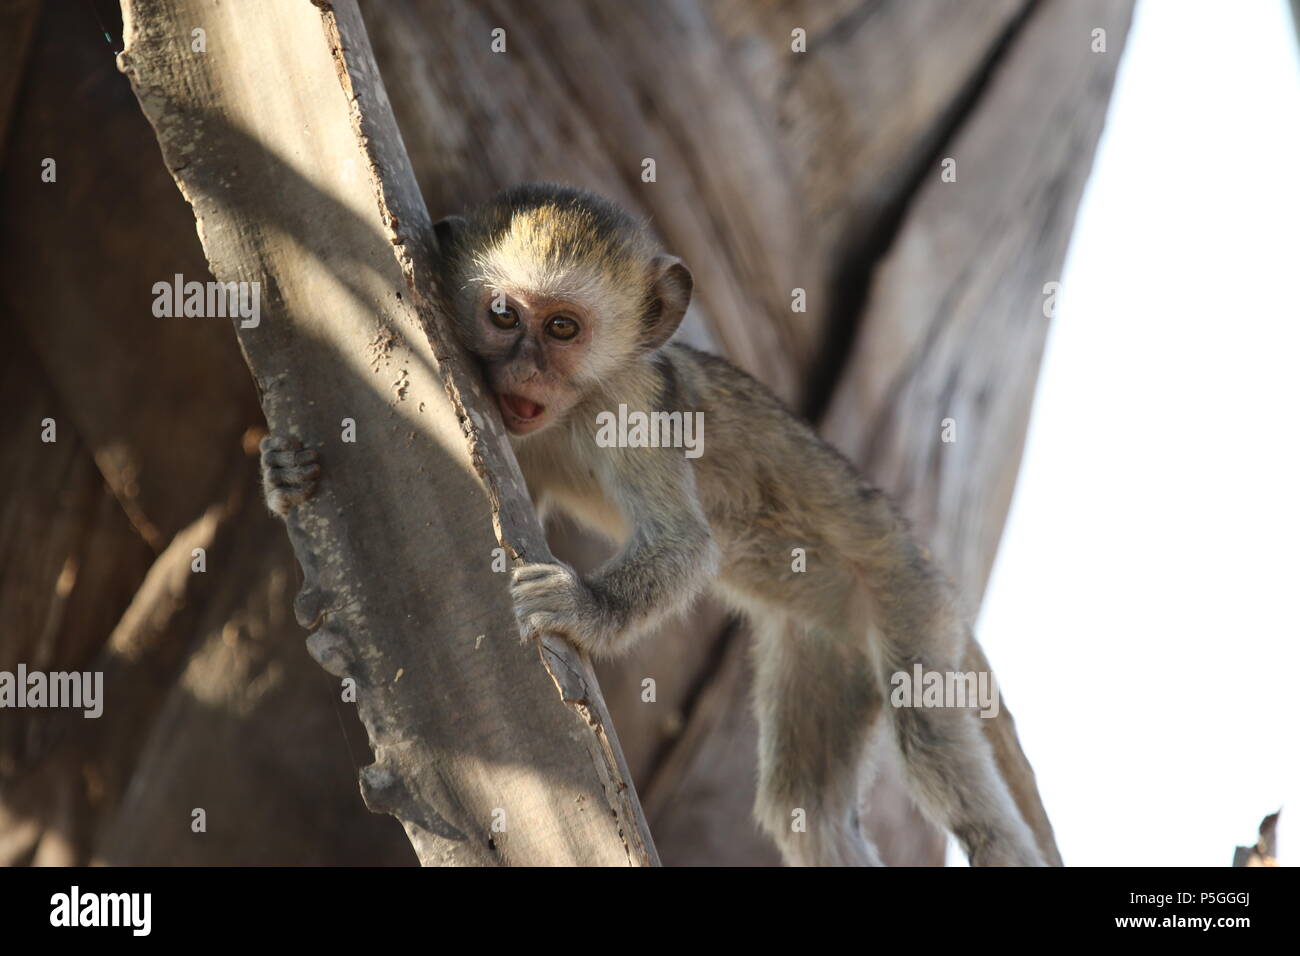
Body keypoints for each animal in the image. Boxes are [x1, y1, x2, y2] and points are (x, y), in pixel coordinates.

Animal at [263, 183, 1052, 867]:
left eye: (561, 328)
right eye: (503, 316)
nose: (525, 370)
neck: (574, 404)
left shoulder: (635, 403)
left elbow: (685, 543)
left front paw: (582, 608)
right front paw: (287, 481)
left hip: (906, 596)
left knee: (929, 739)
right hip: (831, 645)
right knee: (807, 807)